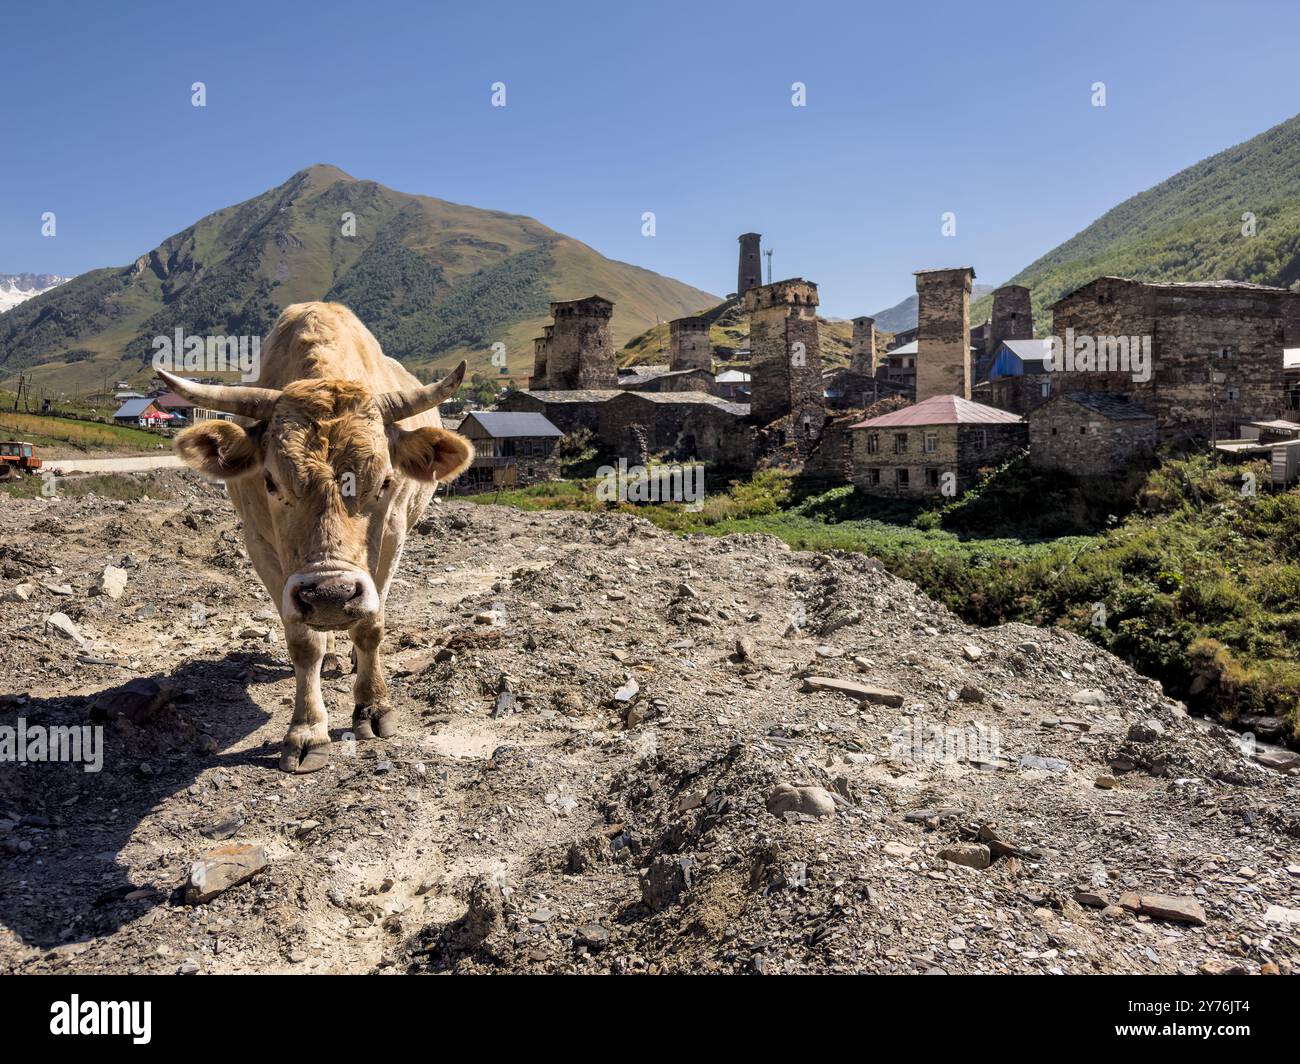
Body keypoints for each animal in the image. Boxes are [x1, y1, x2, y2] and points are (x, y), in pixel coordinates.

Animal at [159, 302, 474, 772]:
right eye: (271, 481)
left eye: (384, 482)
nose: (329, 595)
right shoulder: (261, 547)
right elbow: (304, 643)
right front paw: (307, 730)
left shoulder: (393, 535)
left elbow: (371, 626)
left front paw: (372, 707)